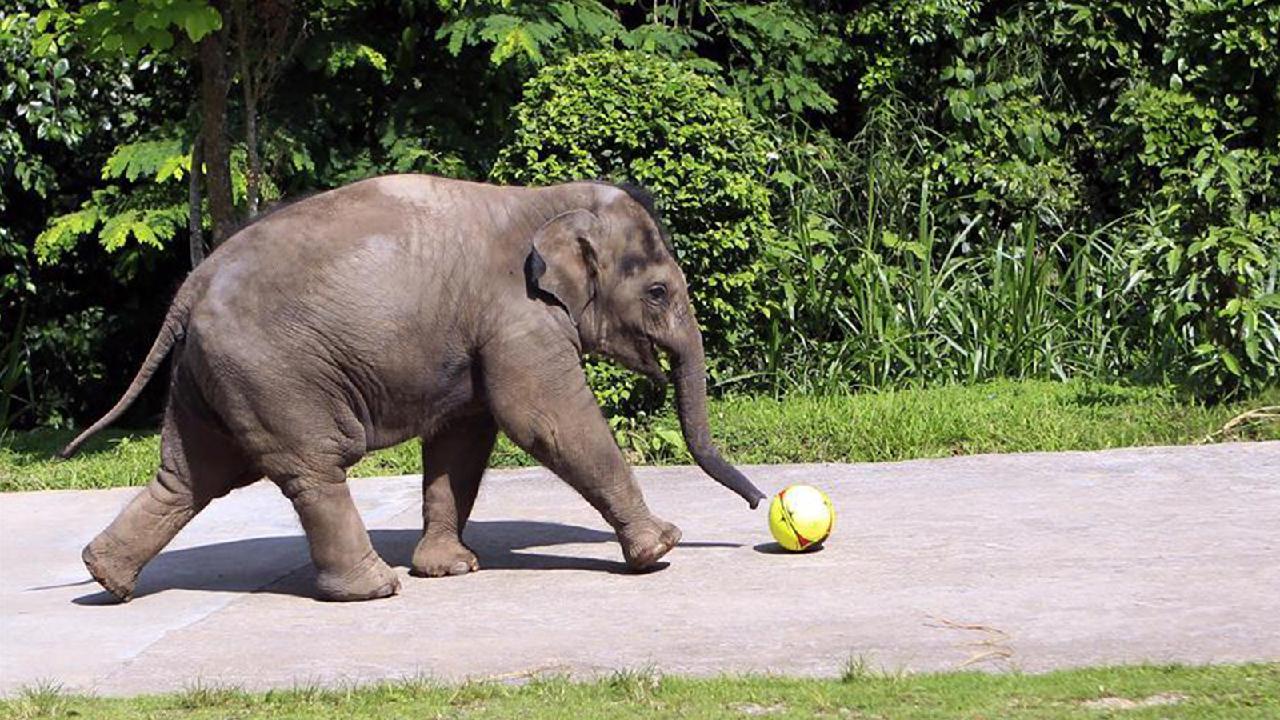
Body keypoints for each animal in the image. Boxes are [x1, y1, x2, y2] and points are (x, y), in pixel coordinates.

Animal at [60, 174, 766, 602]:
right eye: (658, 292)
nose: (761, 504)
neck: (545, 200)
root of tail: (190, 287)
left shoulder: (479, 333)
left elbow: (464, 437)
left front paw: (450, 569)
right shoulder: (517, 317)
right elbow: (545, 419)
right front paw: (661, 549)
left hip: (208, 375)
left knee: (190, 475)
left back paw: (105, 579)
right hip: (269, 372)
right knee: (312, 465)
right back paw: (373, 589)